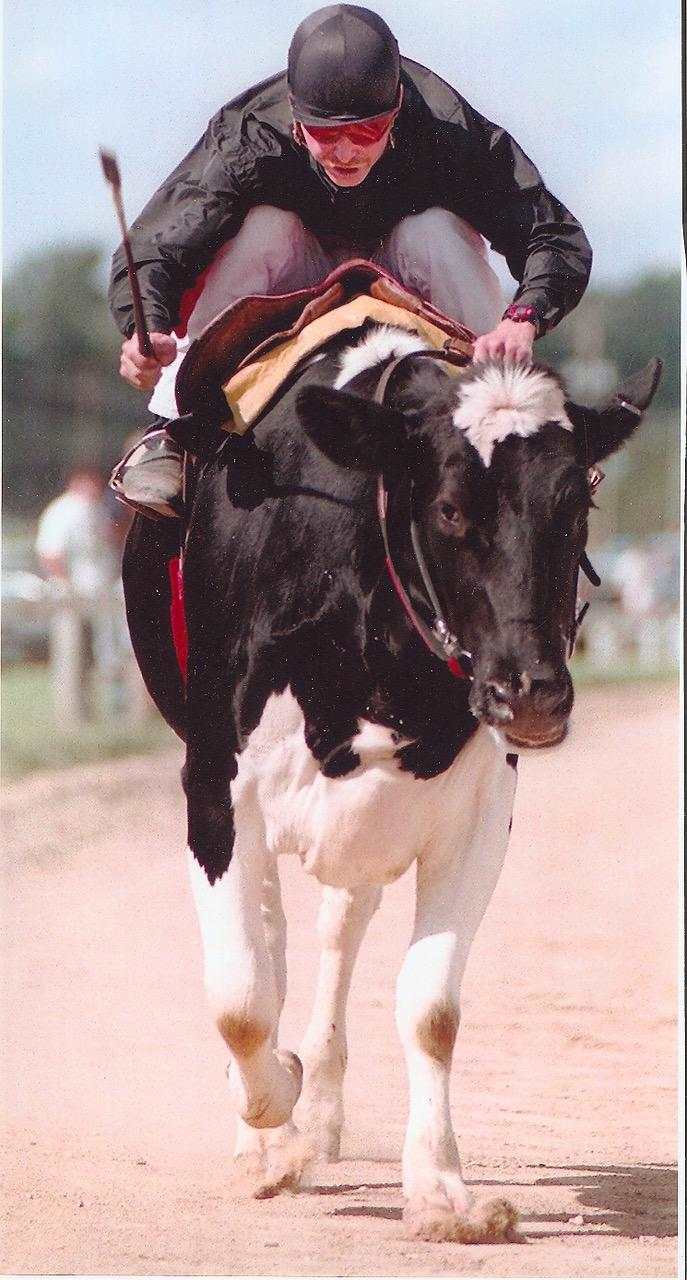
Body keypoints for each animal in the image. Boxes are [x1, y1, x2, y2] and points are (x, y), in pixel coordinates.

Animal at [123, 321, 661, 1241]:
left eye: (575, 506)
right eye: (448, 508)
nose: (530, 692)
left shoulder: (477, 817)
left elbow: (431, 1009)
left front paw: (441, 1191)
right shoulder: (215, 792)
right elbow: (239, 997)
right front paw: (268, 1116)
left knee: (337, 927)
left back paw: (321, 1114)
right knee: (269, 945)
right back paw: (274, 1124)